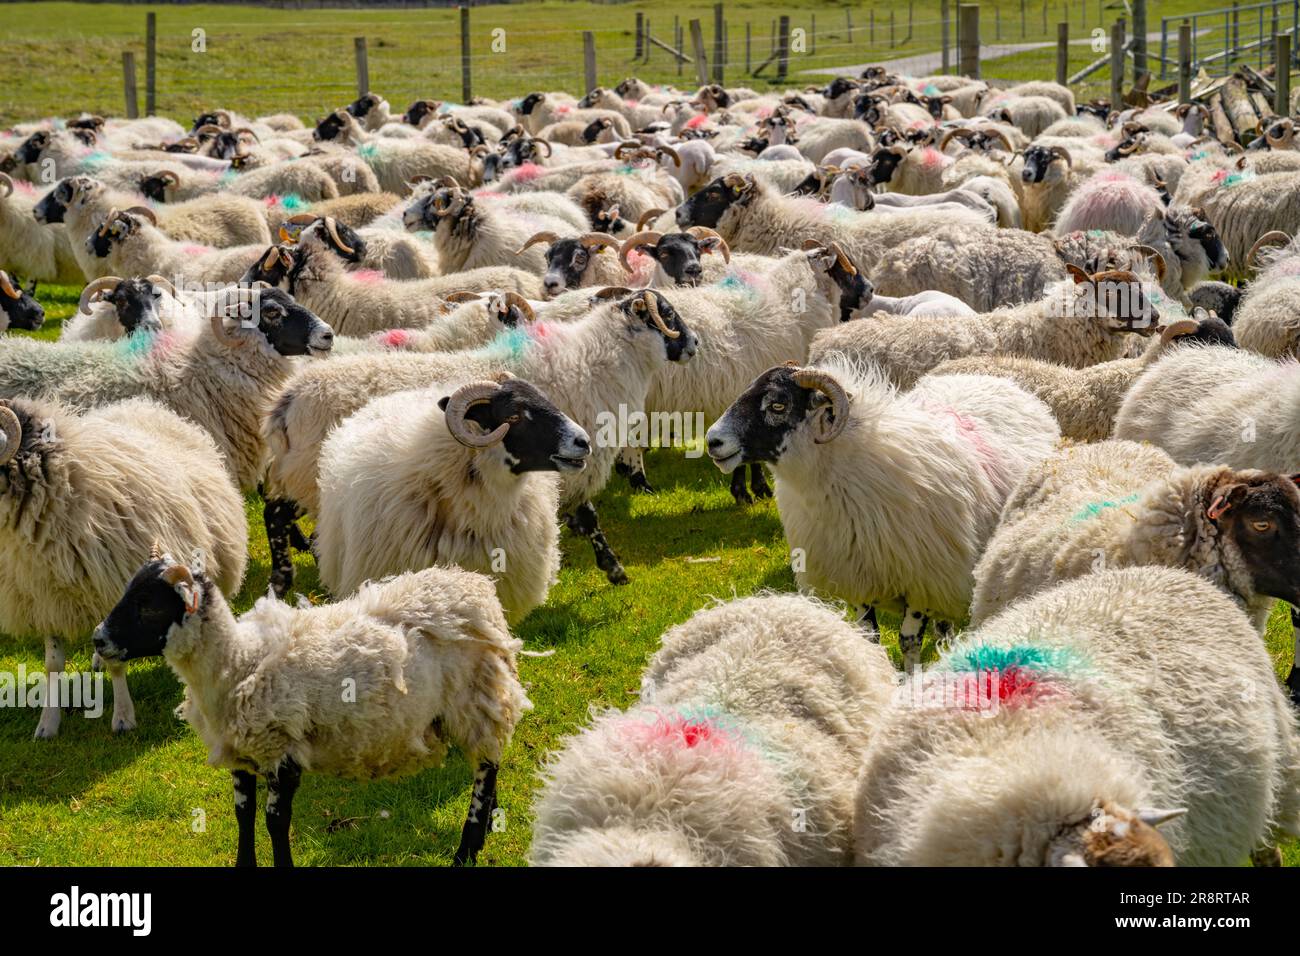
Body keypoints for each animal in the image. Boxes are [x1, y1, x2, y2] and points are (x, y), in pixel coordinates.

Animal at [0, 396, 247, 739]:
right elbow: (53, 664)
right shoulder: (45, 599)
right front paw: (48, 723)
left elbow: (116, 661)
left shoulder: (113, 589)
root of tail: (144, 405)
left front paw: (122, 718)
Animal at [92, 560, 530, 867]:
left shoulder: (282, 753)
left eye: (147, 605)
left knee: (485, 770)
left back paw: (466, 850)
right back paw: (488, 825)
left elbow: (275, 821)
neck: (238, 661)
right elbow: (243, 814)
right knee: (489, 765)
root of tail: (475, 587)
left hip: (477, 701)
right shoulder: (242, 755)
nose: (98, 639)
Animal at [262, 289, 695, 595]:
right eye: (668, 314)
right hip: (310, 476)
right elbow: (590, 518)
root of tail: (288, 398)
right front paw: (614, 569)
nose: (693, 346)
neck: (597, 363)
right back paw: (282, 578)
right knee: (274, 513)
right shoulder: (567, 462)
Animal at [705, 356, 1060, 670]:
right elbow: (869, 637)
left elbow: (908, 640)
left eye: (778, 405)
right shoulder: (857, 576)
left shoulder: (921, 578)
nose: (712, 441)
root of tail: (987, 378)